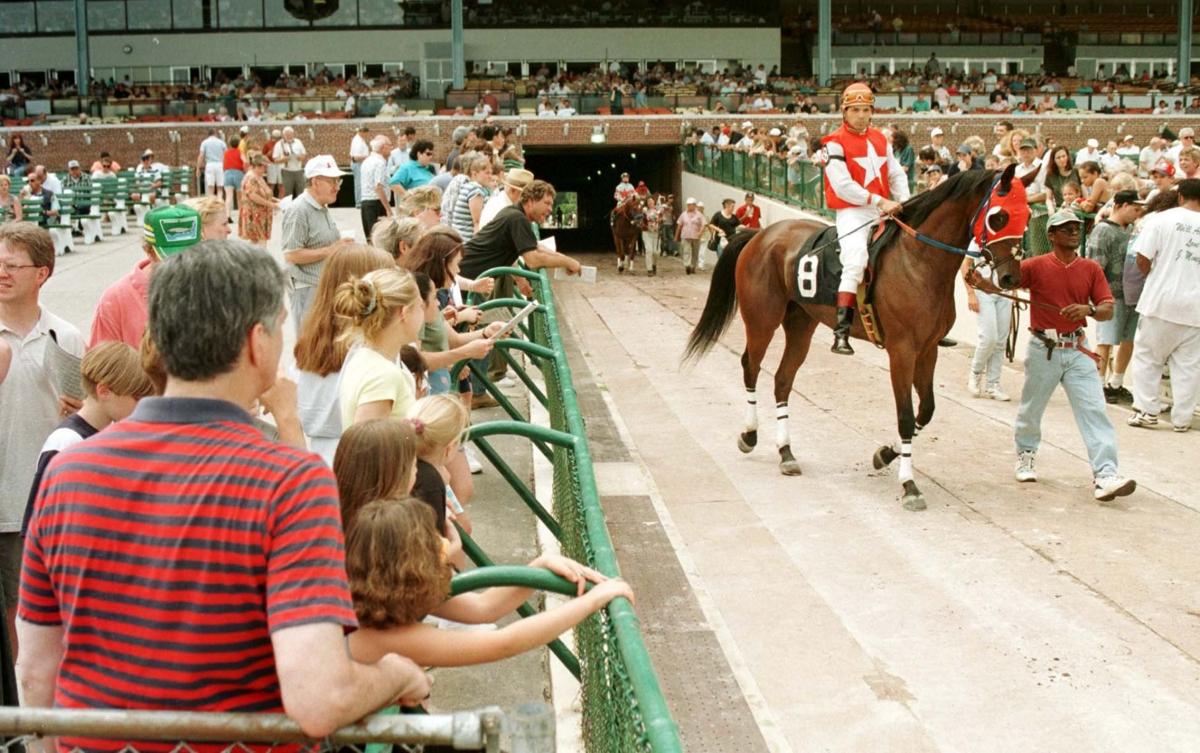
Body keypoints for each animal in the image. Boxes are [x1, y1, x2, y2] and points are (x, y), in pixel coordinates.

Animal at [686, 167, 1032, 510]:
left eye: (1027, 214)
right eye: (999, 216)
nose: (1011, 277)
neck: (918, 261)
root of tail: (760, 235)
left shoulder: (927, 349)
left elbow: (926, 411)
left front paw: (885, 454)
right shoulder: (902, 351)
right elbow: (906, 416)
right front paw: (909, 485)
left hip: (800, 325)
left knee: (782, 380)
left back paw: (786, 453)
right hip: (762, 320)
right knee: (751, 367)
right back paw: (749, 435)